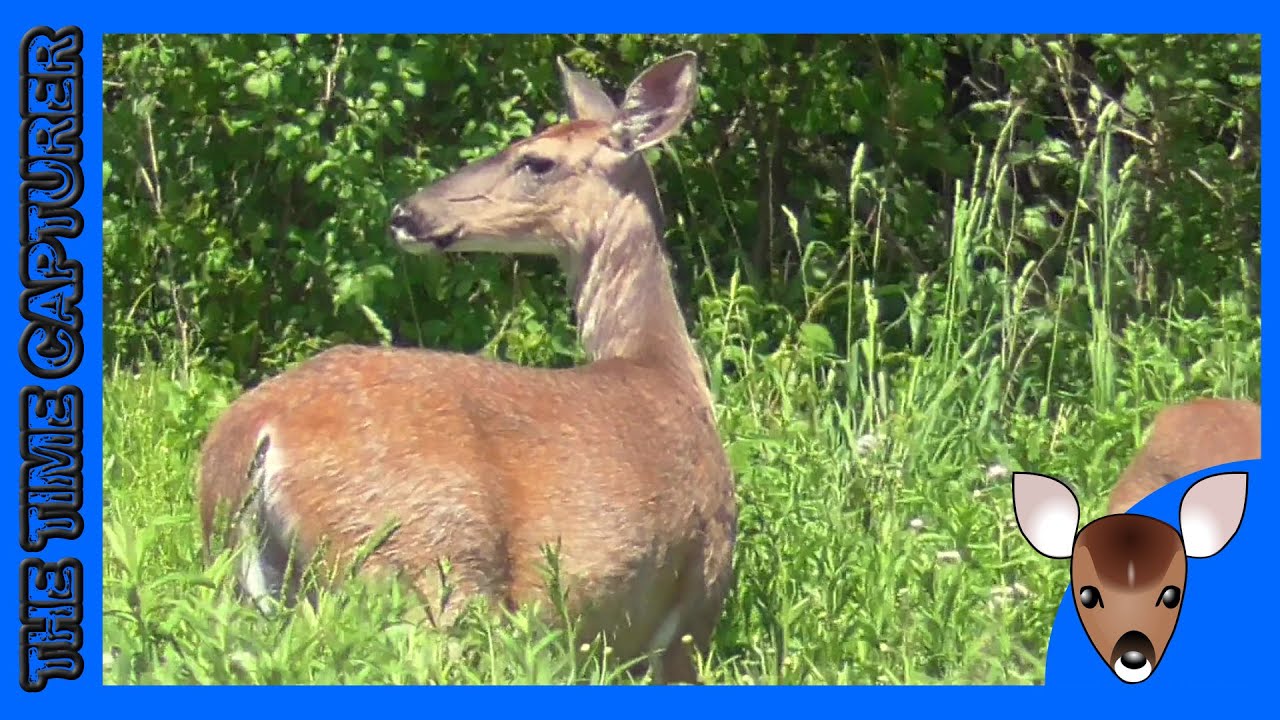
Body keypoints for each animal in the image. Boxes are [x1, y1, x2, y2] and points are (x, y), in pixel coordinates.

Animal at [196, 51, 736, 685]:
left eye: (537, 160)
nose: (406, 212)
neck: (662, 367)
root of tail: (258, 431)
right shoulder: (701, 582)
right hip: (420, 567)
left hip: (252, 583)